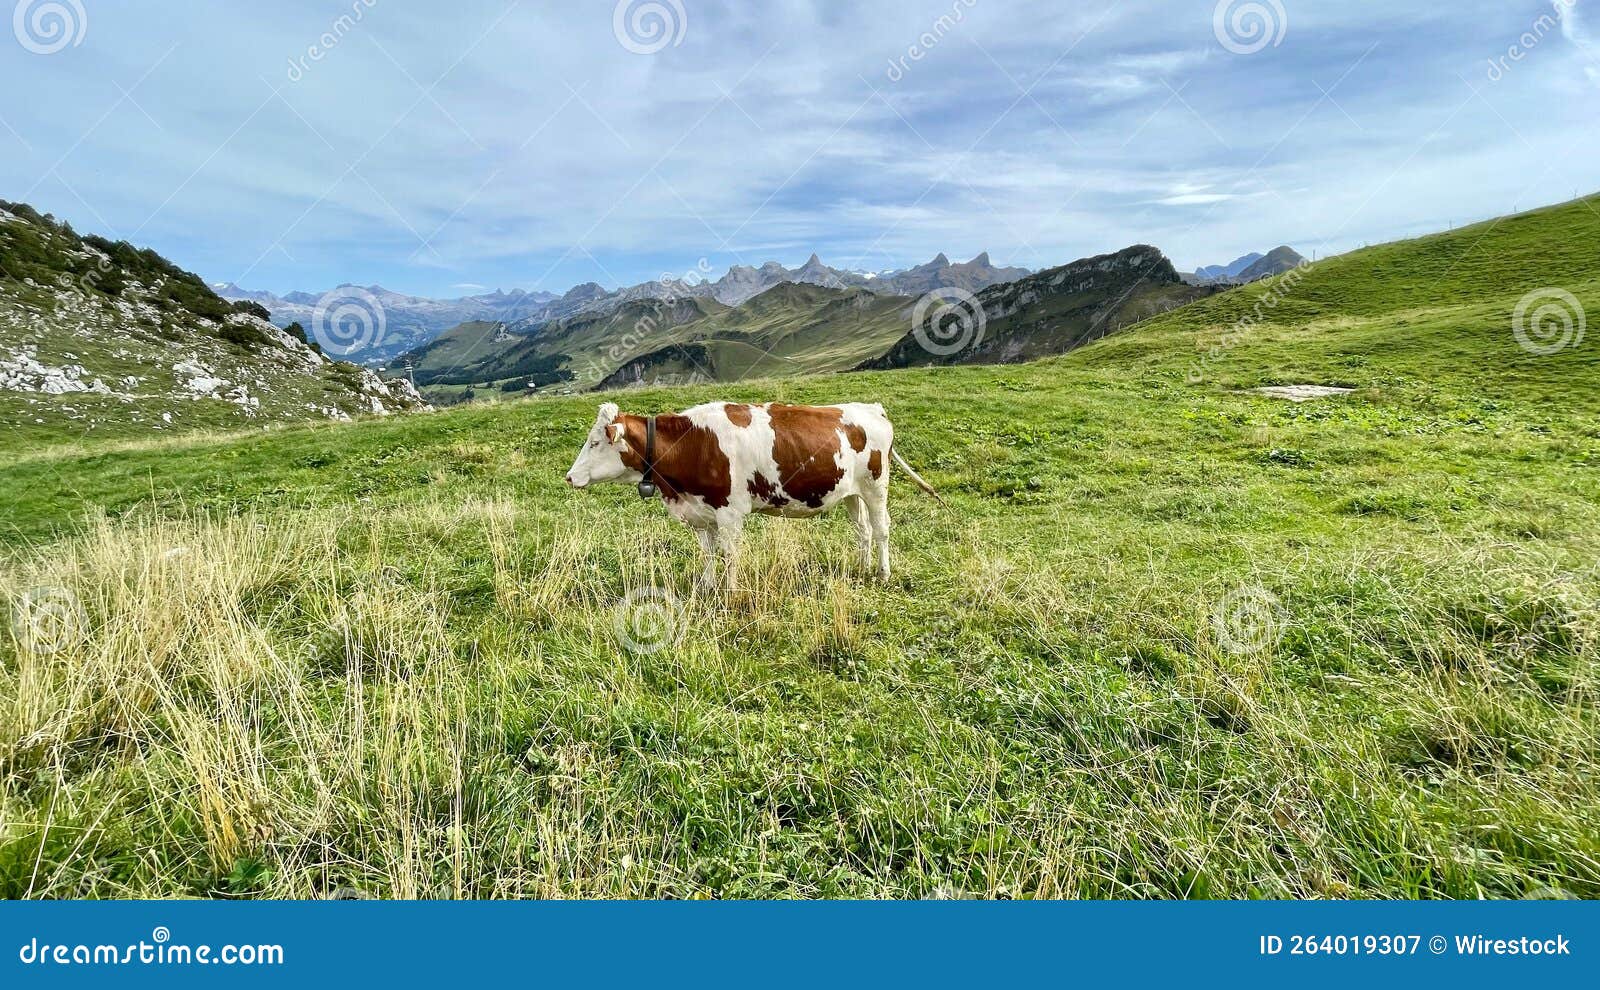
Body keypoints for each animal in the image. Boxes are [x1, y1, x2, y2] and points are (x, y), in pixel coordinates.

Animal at [565, 401, 942, 589]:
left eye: (595, 442)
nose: (569, 477)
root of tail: (872, 407)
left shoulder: (730, 512)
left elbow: (730, 555)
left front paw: (730, 594)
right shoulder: (701, 513)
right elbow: (708, 554)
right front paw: (707, 587)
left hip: (876, 484)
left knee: (881, 529)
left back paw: (882, 573)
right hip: (850, 491)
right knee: (862, 530)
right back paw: (861, 569)